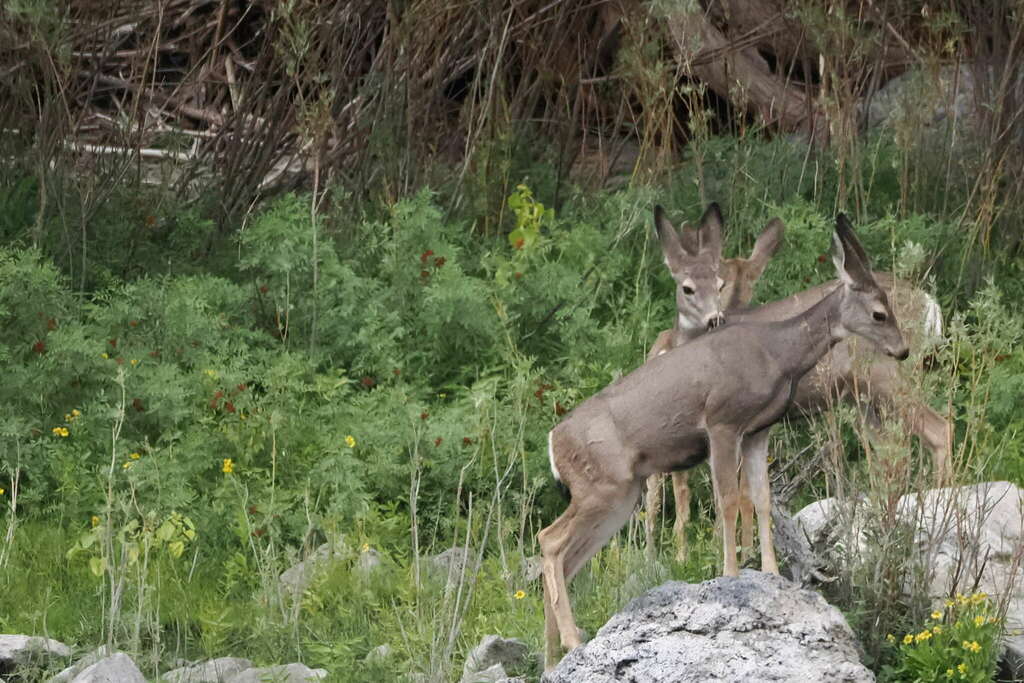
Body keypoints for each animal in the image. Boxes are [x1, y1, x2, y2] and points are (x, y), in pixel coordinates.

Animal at [539, 214, 909, 670]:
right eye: (879, 313)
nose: (903, 350)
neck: (778, 355)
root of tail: (554, 441)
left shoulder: (758, 431)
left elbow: (762, 498)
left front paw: (770, 572)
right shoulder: (721, 422)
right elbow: (728, 501)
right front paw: (730, 575)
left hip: (620, 496)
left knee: (567, 557)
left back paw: (551, 659)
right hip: (601, 486)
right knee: (549, 542)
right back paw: (573, 640)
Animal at [644, 208, 951, 565]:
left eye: (720, 283)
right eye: (688, 288)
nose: (715, 318)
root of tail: (931, 306)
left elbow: (737, 493)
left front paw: (734, 553)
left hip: (886, 377)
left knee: (935, 432)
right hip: (865, 397)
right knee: (892, 457)